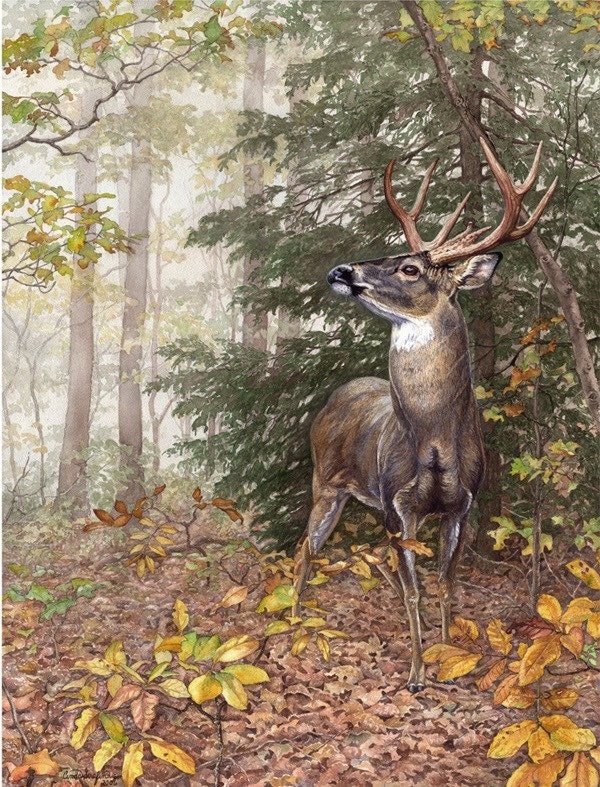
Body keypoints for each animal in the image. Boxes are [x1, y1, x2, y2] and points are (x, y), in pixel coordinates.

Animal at [292, 137, 557, 692]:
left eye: (409, 268)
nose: (340, 271)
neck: (434, 443)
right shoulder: (401, 505)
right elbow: (417, 587)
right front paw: (416, 673)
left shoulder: (460, 506)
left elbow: (445, 581)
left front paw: (448, 651)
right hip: (325, 482)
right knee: (307, 548)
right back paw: (292, 617)